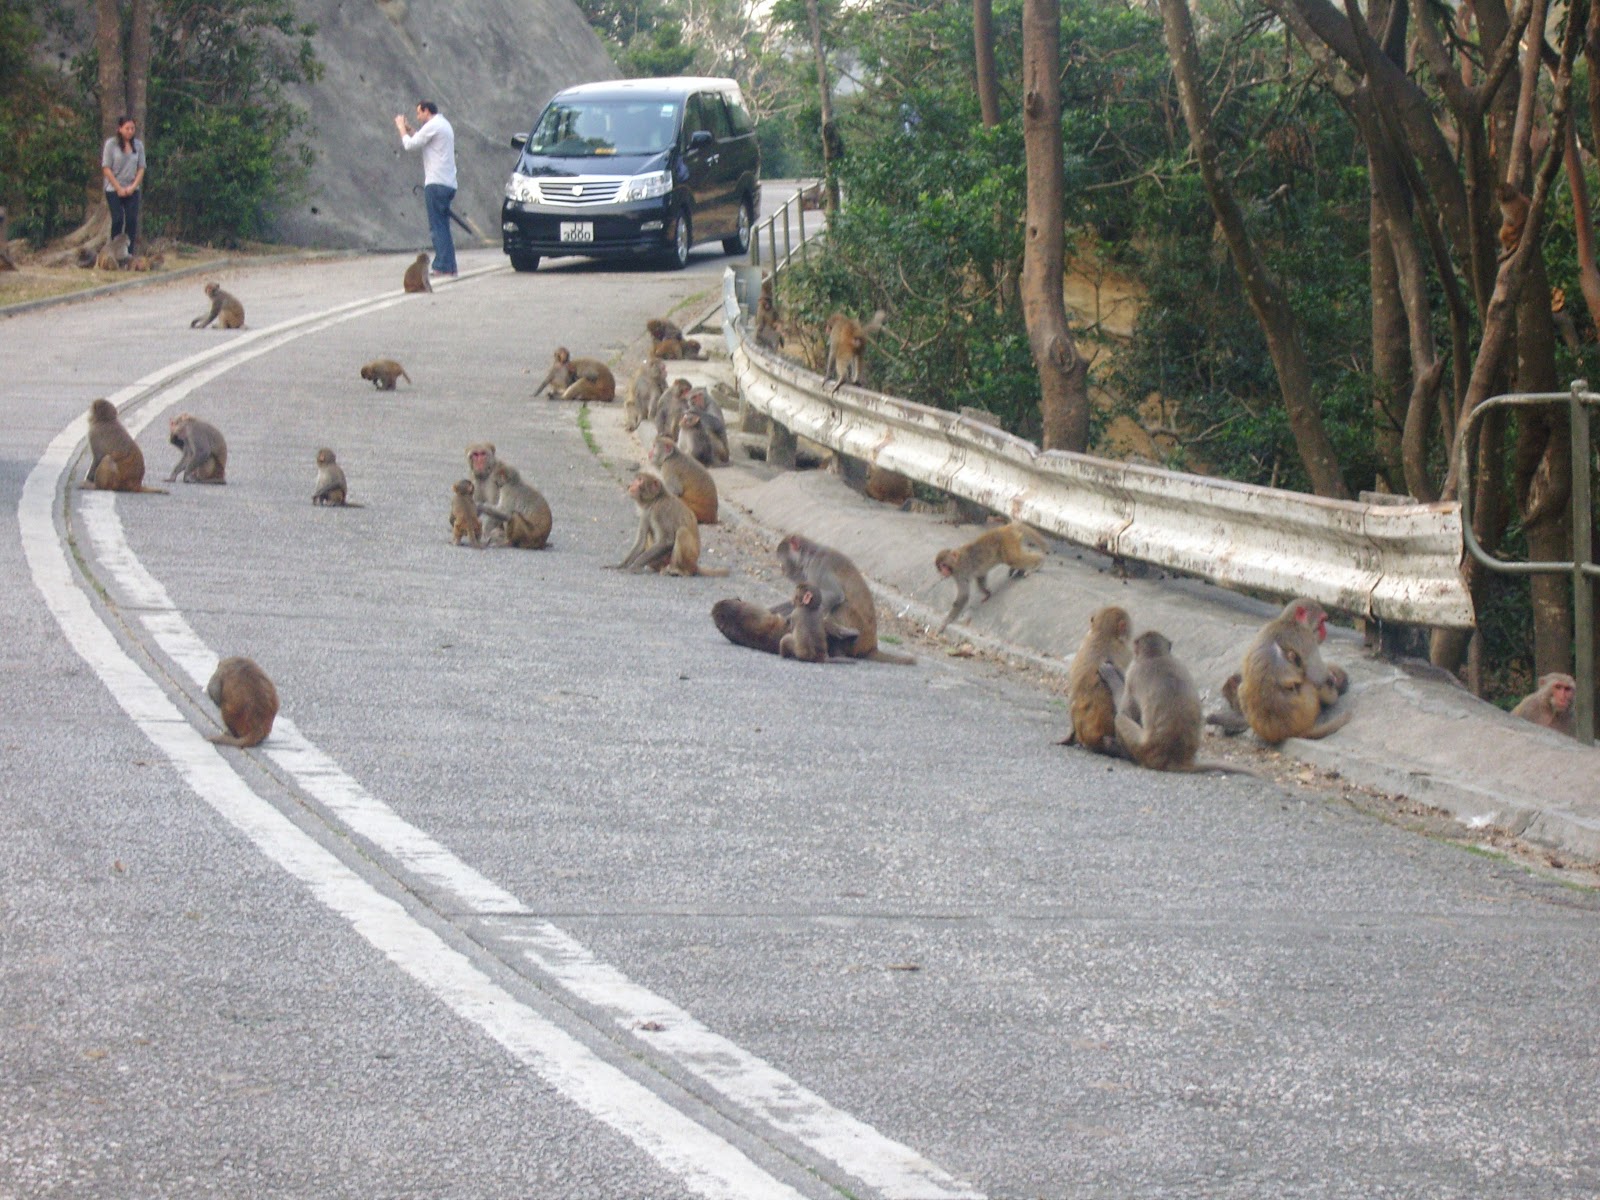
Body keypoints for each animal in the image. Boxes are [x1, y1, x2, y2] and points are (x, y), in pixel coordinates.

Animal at [774, 532, 914, 664]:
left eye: (783, 561)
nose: (782, 570)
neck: (809, 556)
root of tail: (872, 646)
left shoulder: (818, 567)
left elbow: (834, 595)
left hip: (858, 640)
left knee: (842, 607)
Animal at [1232, 598, 1353, 744]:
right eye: (1322, 621)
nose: (1325, 631)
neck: (1289, 622)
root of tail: (1284, 732)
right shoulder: (1306, 638)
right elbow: (1317, 677)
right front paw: (1332, 682)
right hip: (1307, 709)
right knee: (1309, 682)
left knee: (1241, 687)